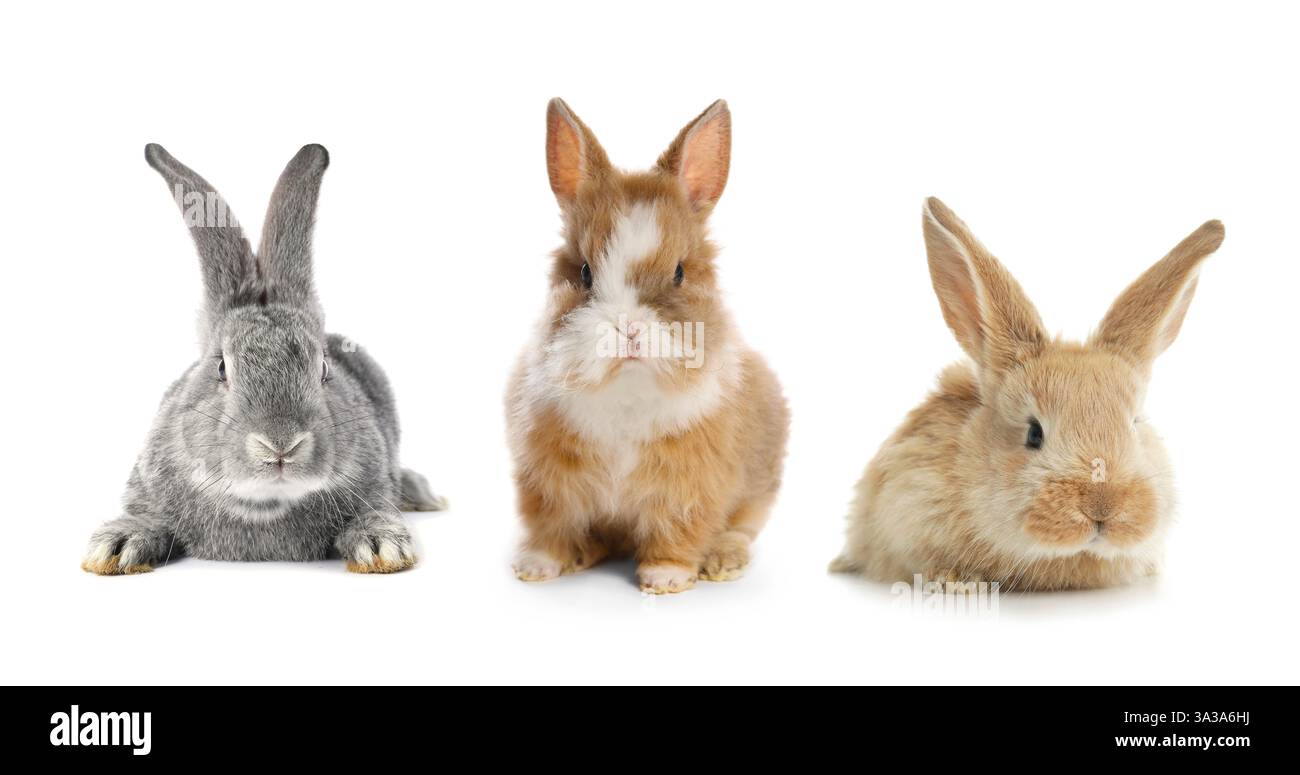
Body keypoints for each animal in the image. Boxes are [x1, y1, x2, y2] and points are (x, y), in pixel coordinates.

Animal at [81, 144, 446, 576]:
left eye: (323, 369)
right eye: (222, 367)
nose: (281, 444)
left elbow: (375, 512)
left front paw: (380, 547)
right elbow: (145, 516)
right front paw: (117, 546)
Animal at [506, 99, 790, 594]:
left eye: (679, 272)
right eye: (584, 272)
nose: (630, 330)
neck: (628, 388)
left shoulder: (690, 486)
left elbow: (678, 529)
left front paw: (666, 578)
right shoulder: (546, 481)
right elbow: (550, 526)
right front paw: (536, 567)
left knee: (740, 526)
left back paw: (722, 561)